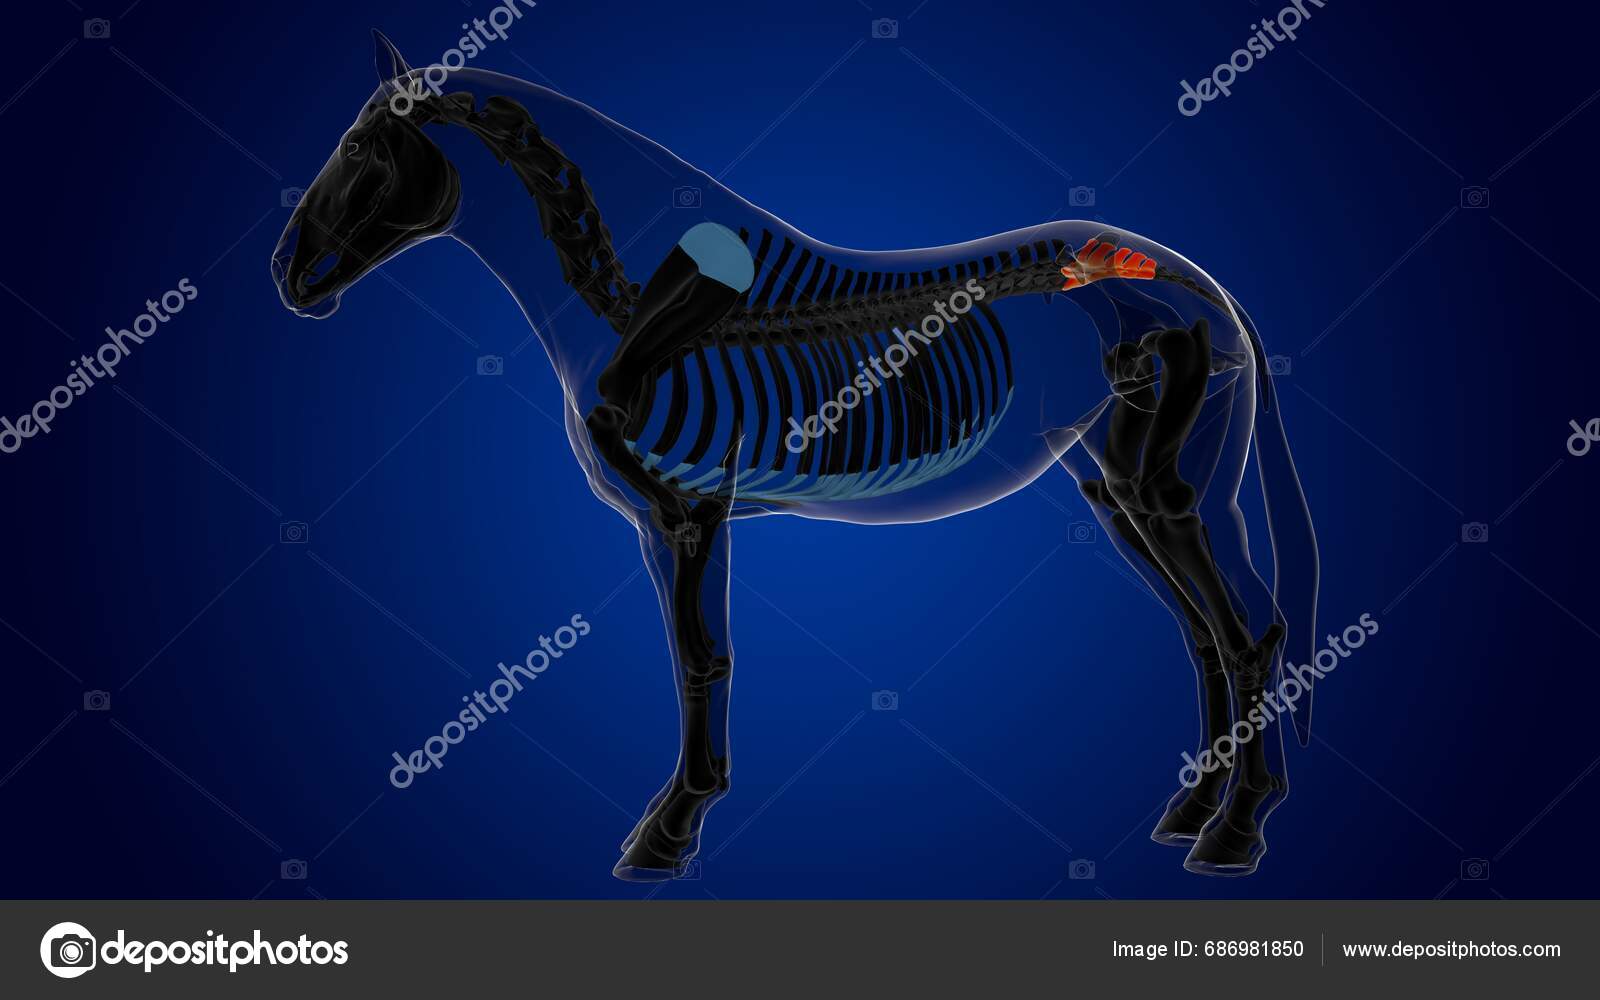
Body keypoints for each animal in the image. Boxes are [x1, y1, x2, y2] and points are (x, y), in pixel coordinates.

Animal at [271, 32, 1318, 880]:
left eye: (358, 148)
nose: (289, 277)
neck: (635, 304)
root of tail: (1194, 282)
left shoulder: (687, 513)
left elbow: (702, 658)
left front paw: (668, 836)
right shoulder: (661, 524)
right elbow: (693, 659)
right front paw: (672, 822)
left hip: (1176, 486)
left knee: (1249, 632)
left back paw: (1235, 836)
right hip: (1114, 486)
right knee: (1203, 634)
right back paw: (1189, 813)